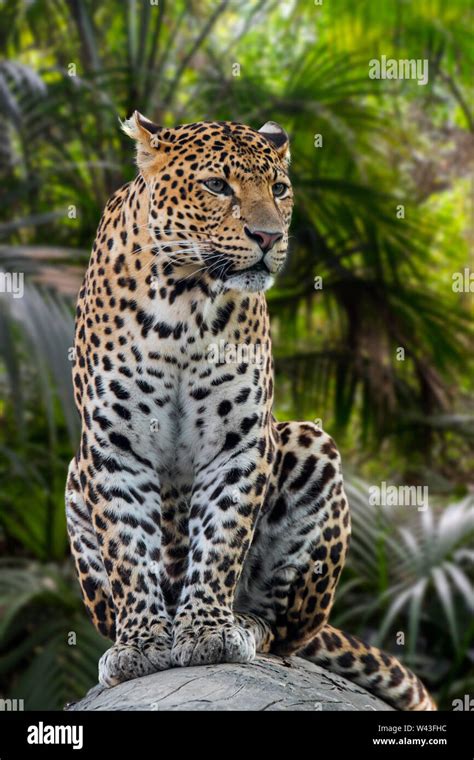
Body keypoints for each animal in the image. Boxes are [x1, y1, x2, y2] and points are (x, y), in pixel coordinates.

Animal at [65, 112, 435, 711]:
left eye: (279, 189)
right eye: (217, 186)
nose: (269, 237)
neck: (184, 299)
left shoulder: (239, 438)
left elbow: (222, 536)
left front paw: (209, 631)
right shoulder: (113, 442)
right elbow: (128, 546)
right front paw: (140, 644)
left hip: (309, 447)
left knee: (284, 631)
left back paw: (243, 623)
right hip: (75, 479)